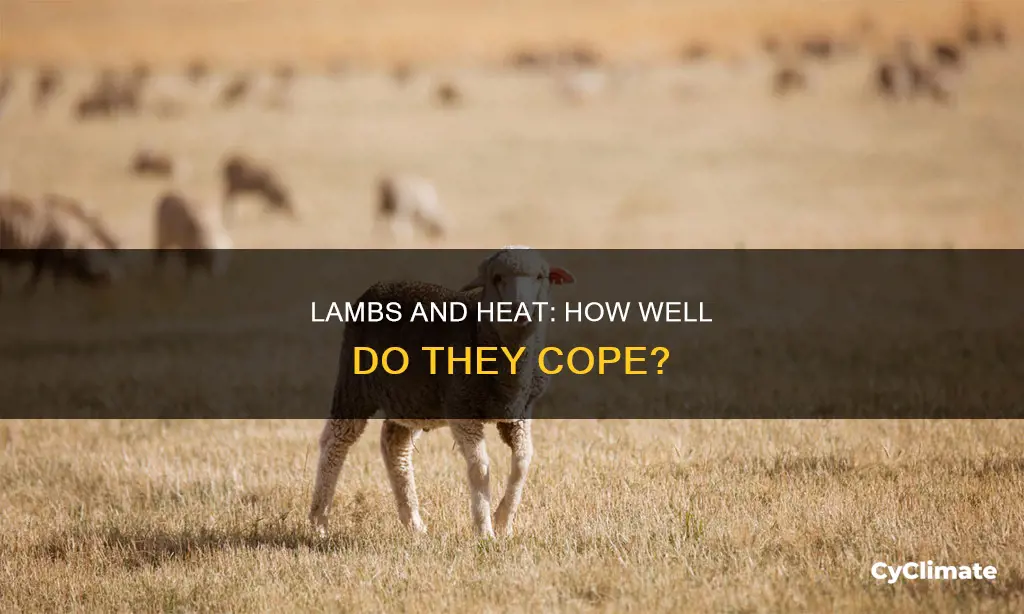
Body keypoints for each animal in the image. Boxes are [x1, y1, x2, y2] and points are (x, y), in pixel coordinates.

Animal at [309, 246, 576, 539]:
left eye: (540, 277)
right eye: (496, 278)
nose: (520, 310)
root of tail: (377, 287)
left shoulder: (520, 411)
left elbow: (522, 462)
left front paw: (503, 522)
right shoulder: (461, 407)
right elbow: (480, 468)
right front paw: (485, 531)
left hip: (411, 398)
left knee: (394, 445)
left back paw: (414, 524)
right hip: (354, 384)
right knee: (335, 441)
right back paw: (319, 522)